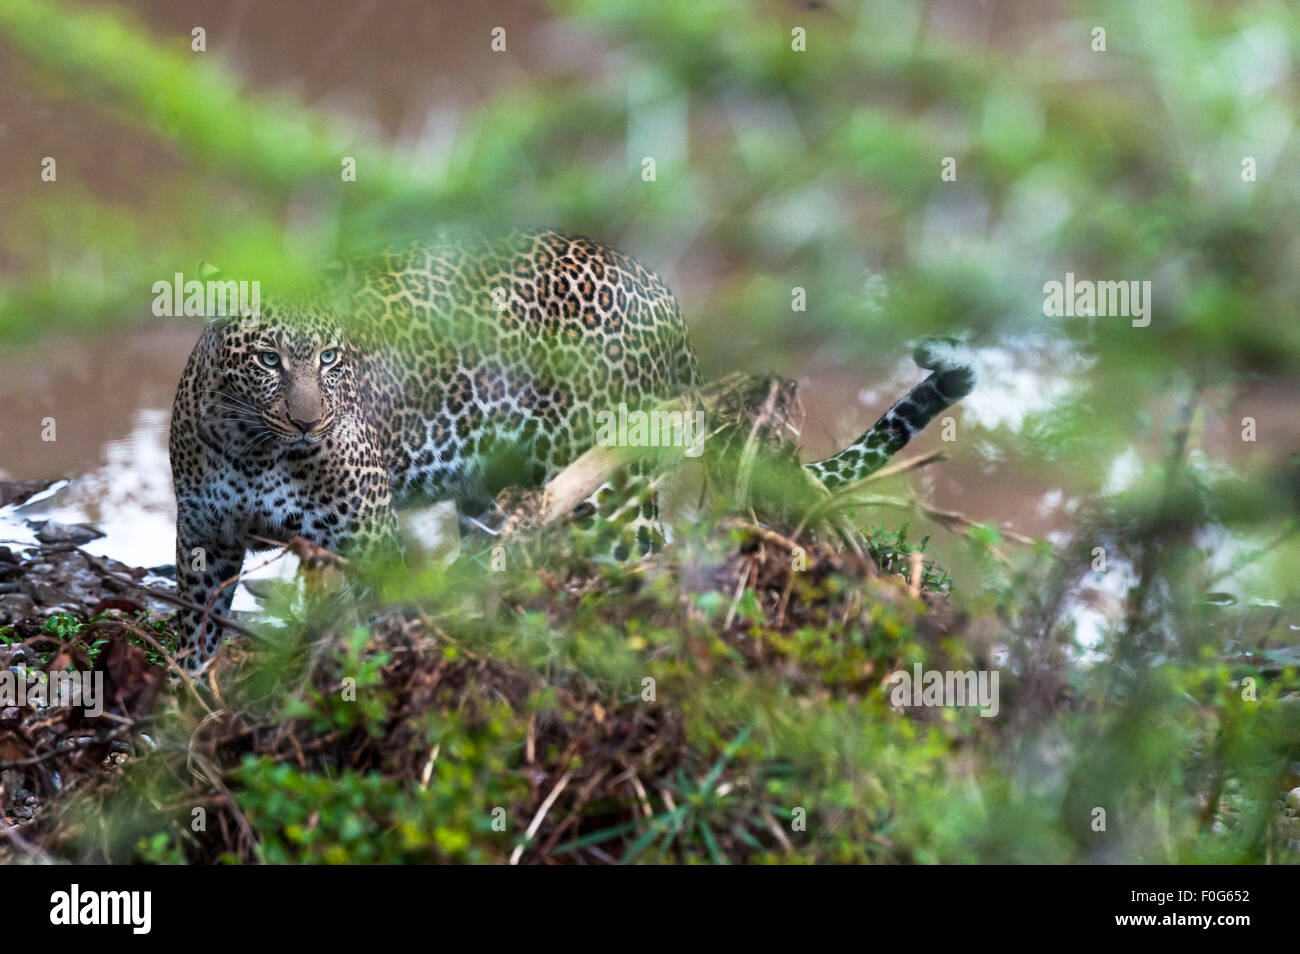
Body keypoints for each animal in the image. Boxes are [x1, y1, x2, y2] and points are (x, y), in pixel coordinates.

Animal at [169, 228, 974, 662]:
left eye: (332, 358)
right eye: (269, 359)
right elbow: (194, 632)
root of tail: (666, 301)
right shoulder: (205, 537)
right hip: (493, 494)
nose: (309, 422)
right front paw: (176, 713)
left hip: (609, 488)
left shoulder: (366, 534)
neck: (255, 447)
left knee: (649, 559)